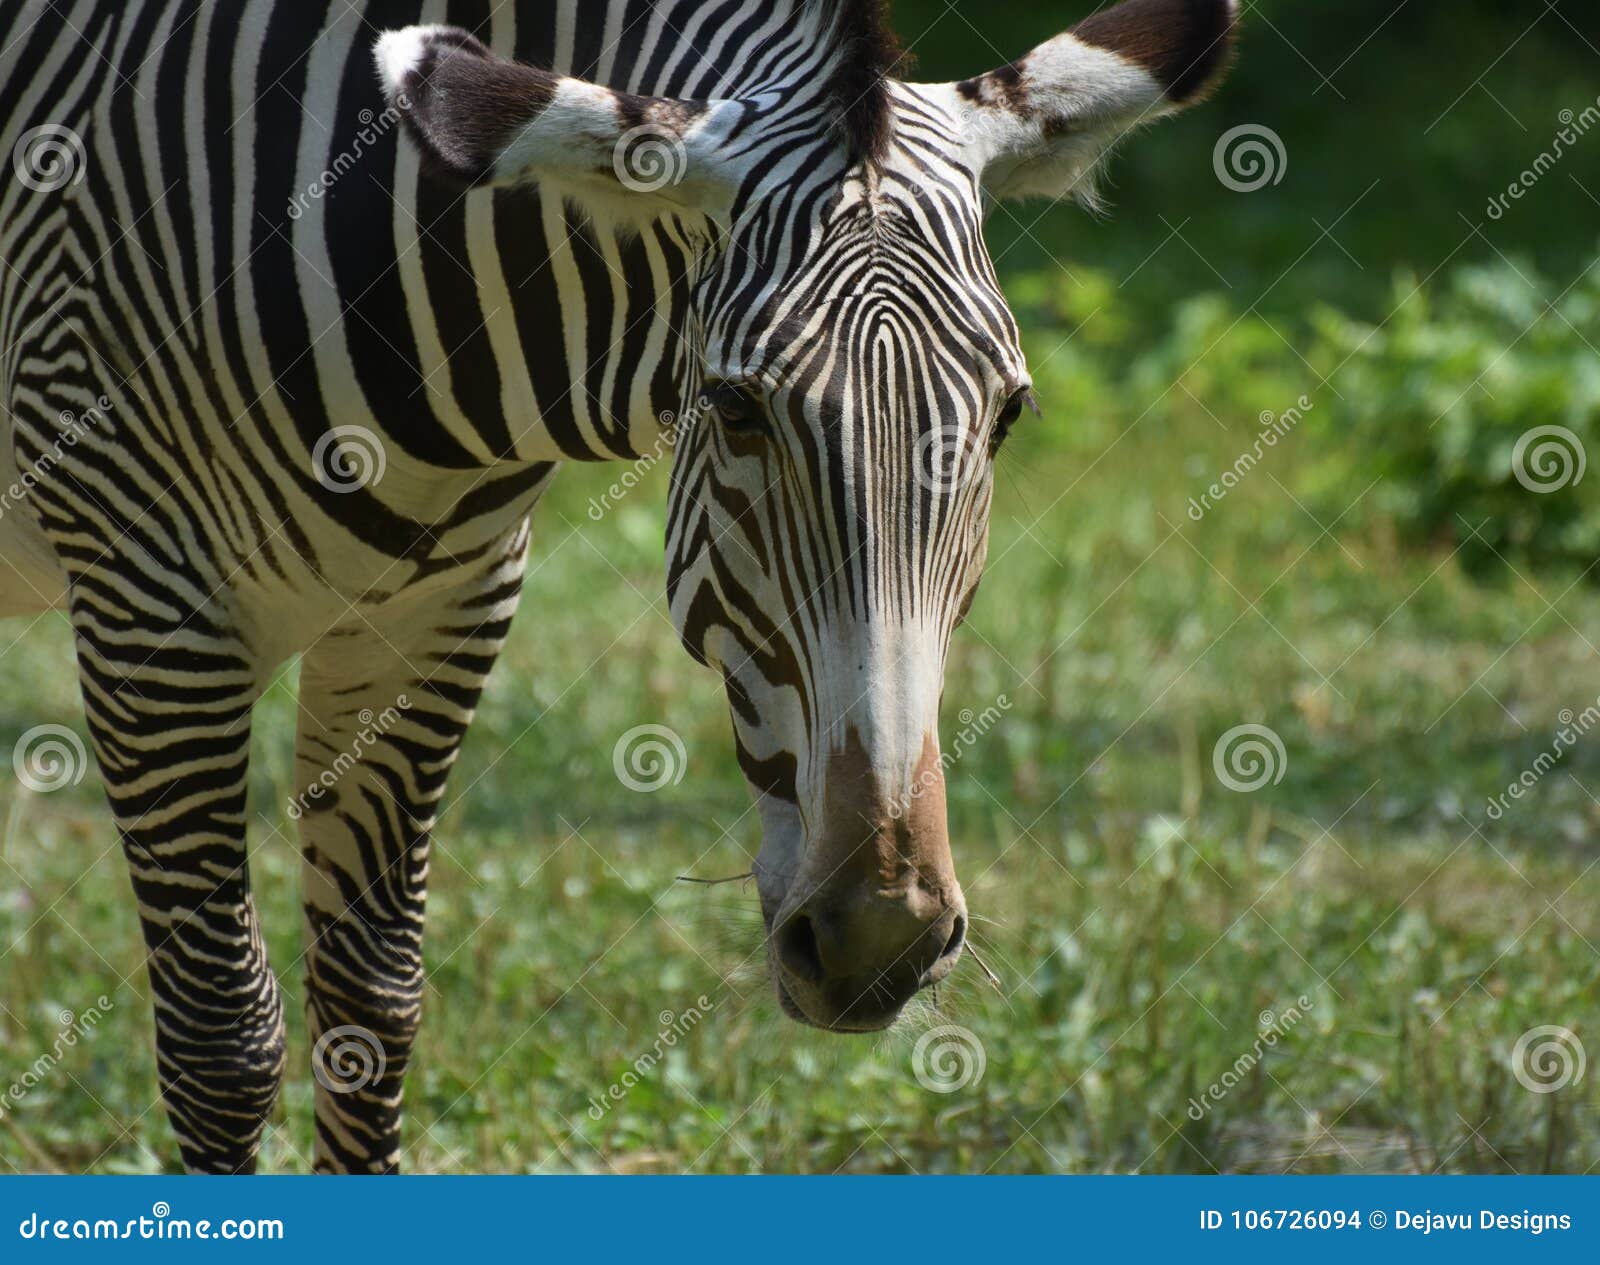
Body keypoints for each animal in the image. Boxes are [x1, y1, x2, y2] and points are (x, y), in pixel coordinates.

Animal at [0, 0, 1236, 1172]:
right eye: (734, 406)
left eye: (1008, 415)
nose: (881, 936)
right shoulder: (149, 604)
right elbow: (220, 1038)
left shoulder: (435, 616)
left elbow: (372, 1006)